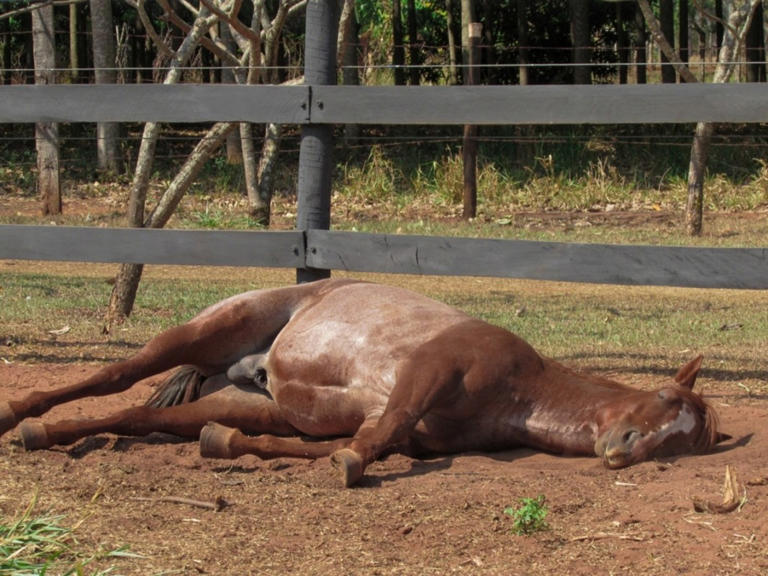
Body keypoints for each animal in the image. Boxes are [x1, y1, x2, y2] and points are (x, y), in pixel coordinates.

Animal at [0, 278, 725, 487]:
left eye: (682, 442)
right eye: (666, 400)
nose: (623, 449)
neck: (522, 392)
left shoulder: (379, 424)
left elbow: (349, 440)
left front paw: (223, 444)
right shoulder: (430, 371)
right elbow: (377, 435)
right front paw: (350, 466)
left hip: (246, 395)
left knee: (136, 416)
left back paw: (46, 433)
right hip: (206, 331)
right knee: (117, 374)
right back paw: (19, 412)